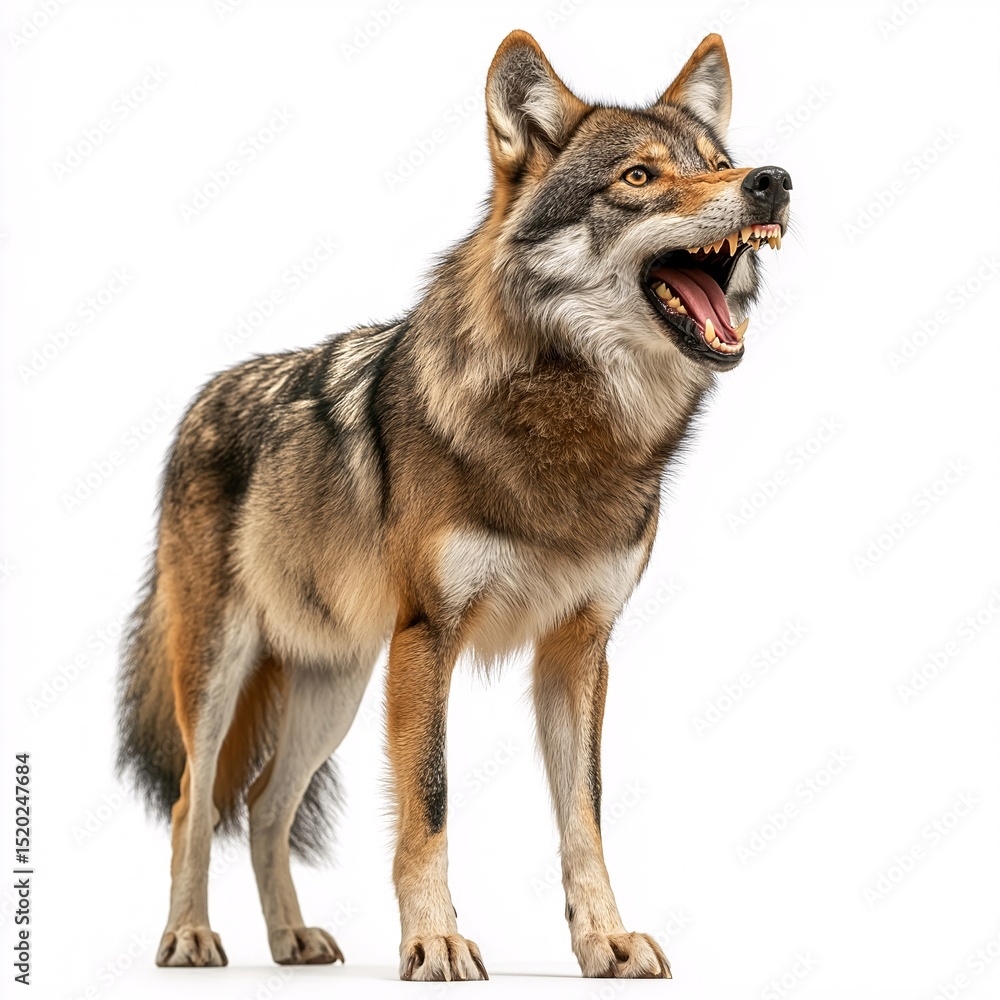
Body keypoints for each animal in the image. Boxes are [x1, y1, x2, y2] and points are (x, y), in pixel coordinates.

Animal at [116, 29, 791, 980]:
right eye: (639, 177)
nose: (772, 180)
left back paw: (292, 941)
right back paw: (188, 936)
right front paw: (434, 940)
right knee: (193, 800)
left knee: (265, 804)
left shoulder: (579, 648)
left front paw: (605, 939)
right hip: (222, 673)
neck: (572, 433)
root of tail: (201, 399)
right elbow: (428, 807)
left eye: (719, 162)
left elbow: (584, 816)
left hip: (337, 688)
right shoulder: (429, 638)